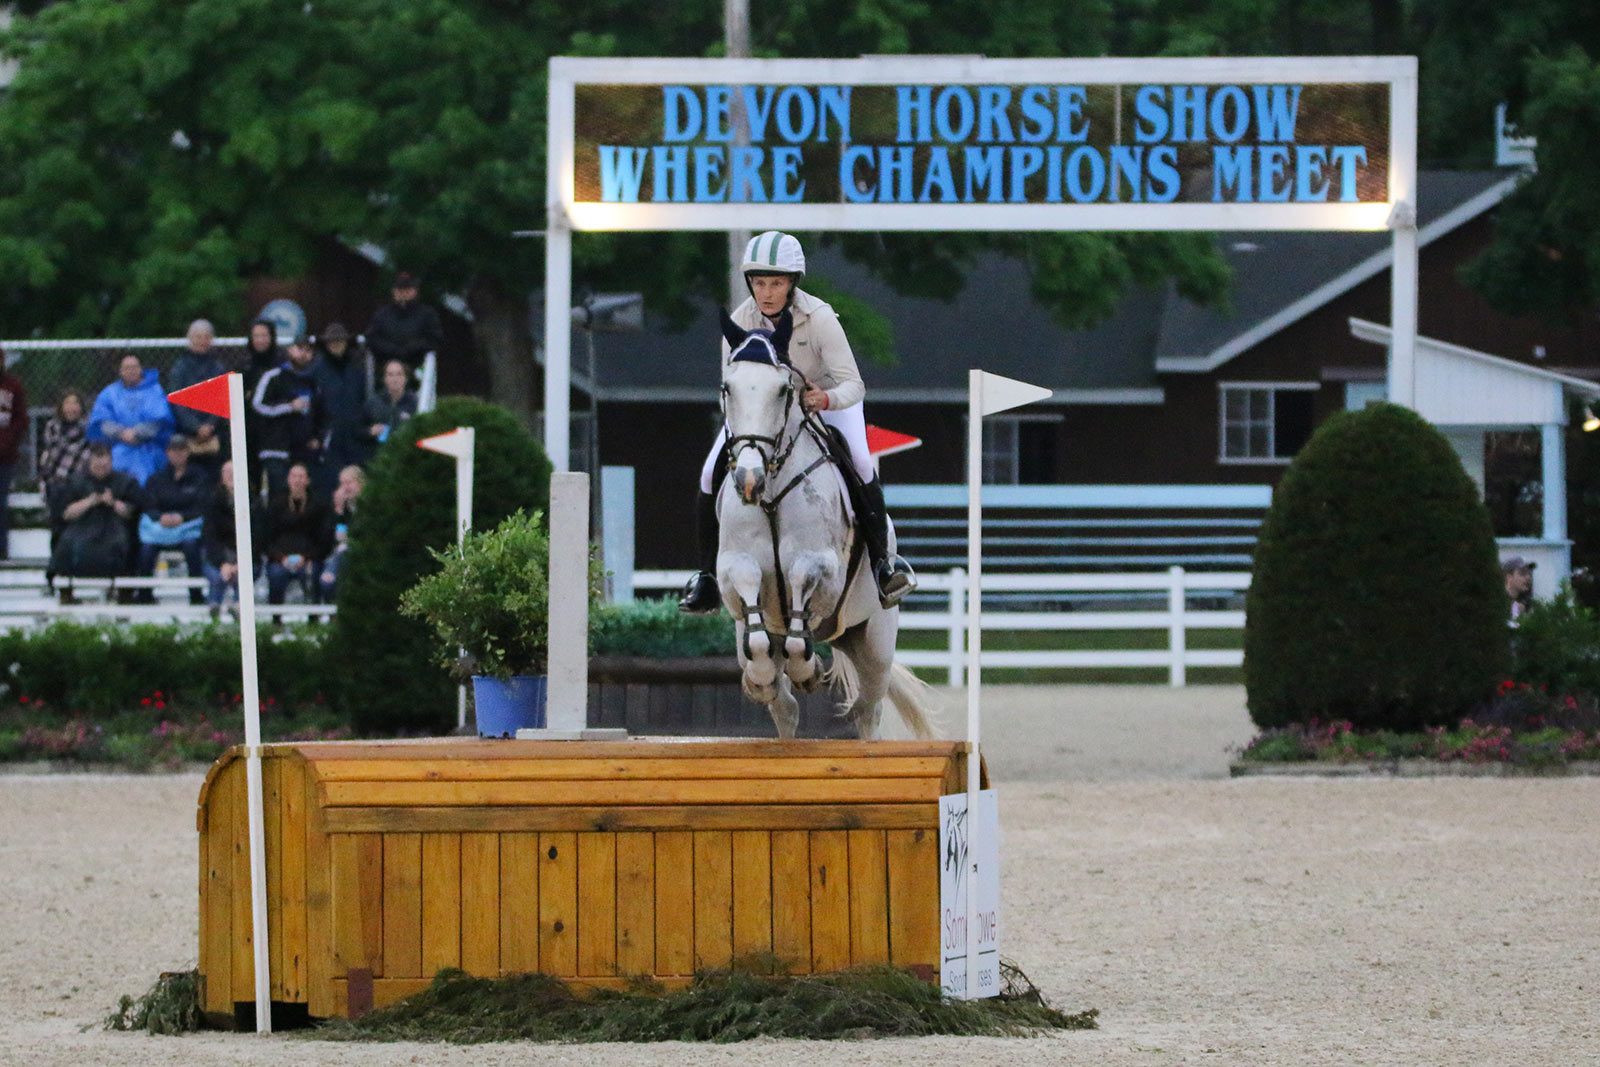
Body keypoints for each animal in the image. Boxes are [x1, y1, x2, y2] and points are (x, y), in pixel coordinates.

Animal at [713, 312, 934, 740]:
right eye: (728, 388)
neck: (772, 493)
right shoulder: (735, 566)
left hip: (875, 642)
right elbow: (752, 604)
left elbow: (802, 579)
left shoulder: (823, 567)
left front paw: (808, 669)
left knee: (867, 710)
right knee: (784, 705)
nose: (748, 480)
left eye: (784, 390)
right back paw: (767, 687)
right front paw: (761, 678)